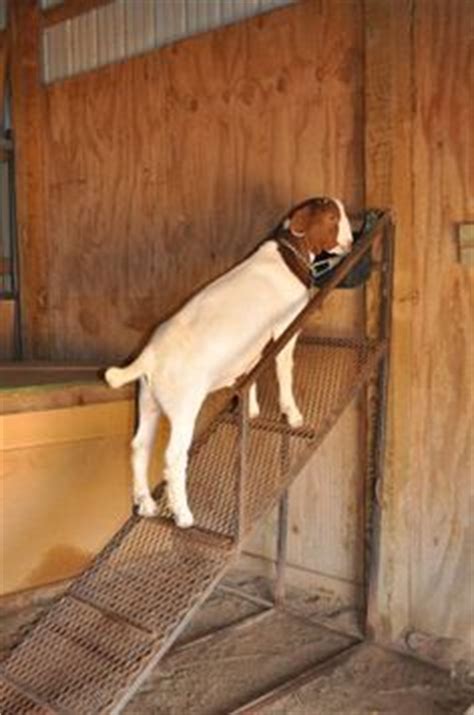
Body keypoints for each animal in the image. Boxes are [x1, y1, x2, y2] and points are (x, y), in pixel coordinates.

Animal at [105, 198, 353, 528]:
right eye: (332, 217)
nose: (350, 242)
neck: (287, 256)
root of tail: (150, 355)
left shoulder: (256, 344)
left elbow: (252, 369)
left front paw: (252, 409)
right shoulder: (285, 326)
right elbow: (283, 368)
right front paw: (292, 414)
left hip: (148, 401)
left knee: (139, 446)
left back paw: (146, 504)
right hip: (183, 406)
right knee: (173, 456)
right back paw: (183, 515)